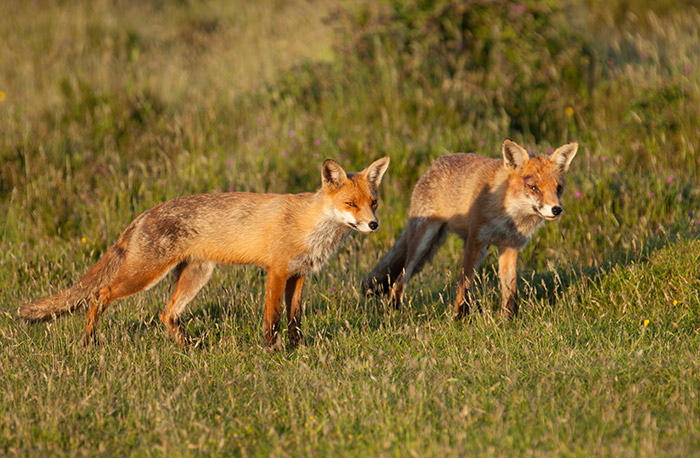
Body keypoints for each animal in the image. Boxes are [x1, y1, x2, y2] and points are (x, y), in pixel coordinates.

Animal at [19, 157, 390, 350]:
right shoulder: (276, 272)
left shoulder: (298, 275)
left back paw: (189, 348)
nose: (373, 225)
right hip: (144, 276)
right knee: (98, 295)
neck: (309, 227)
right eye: (350, 204)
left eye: (373, 202)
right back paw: (89, 342)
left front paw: (298, 349)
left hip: (196, 276)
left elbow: (294, 319)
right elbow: (272, 319)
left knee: (166, 314)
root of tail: (145, 213)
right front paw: (271, 352)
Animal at [363, 139, 577, 319]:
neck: (508, 214)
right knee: (402, 277)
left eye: (558, 188)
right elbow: (464, 281)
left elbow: (510, 290)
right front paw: (459, 318)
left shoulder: (509, 246)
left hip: (474, 251)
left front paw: (510, 320)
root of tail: (435, 163)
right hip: (424, 242)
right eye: (533, 188)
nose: (556, 209)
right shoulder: (475, 239)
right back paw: (393, 309)